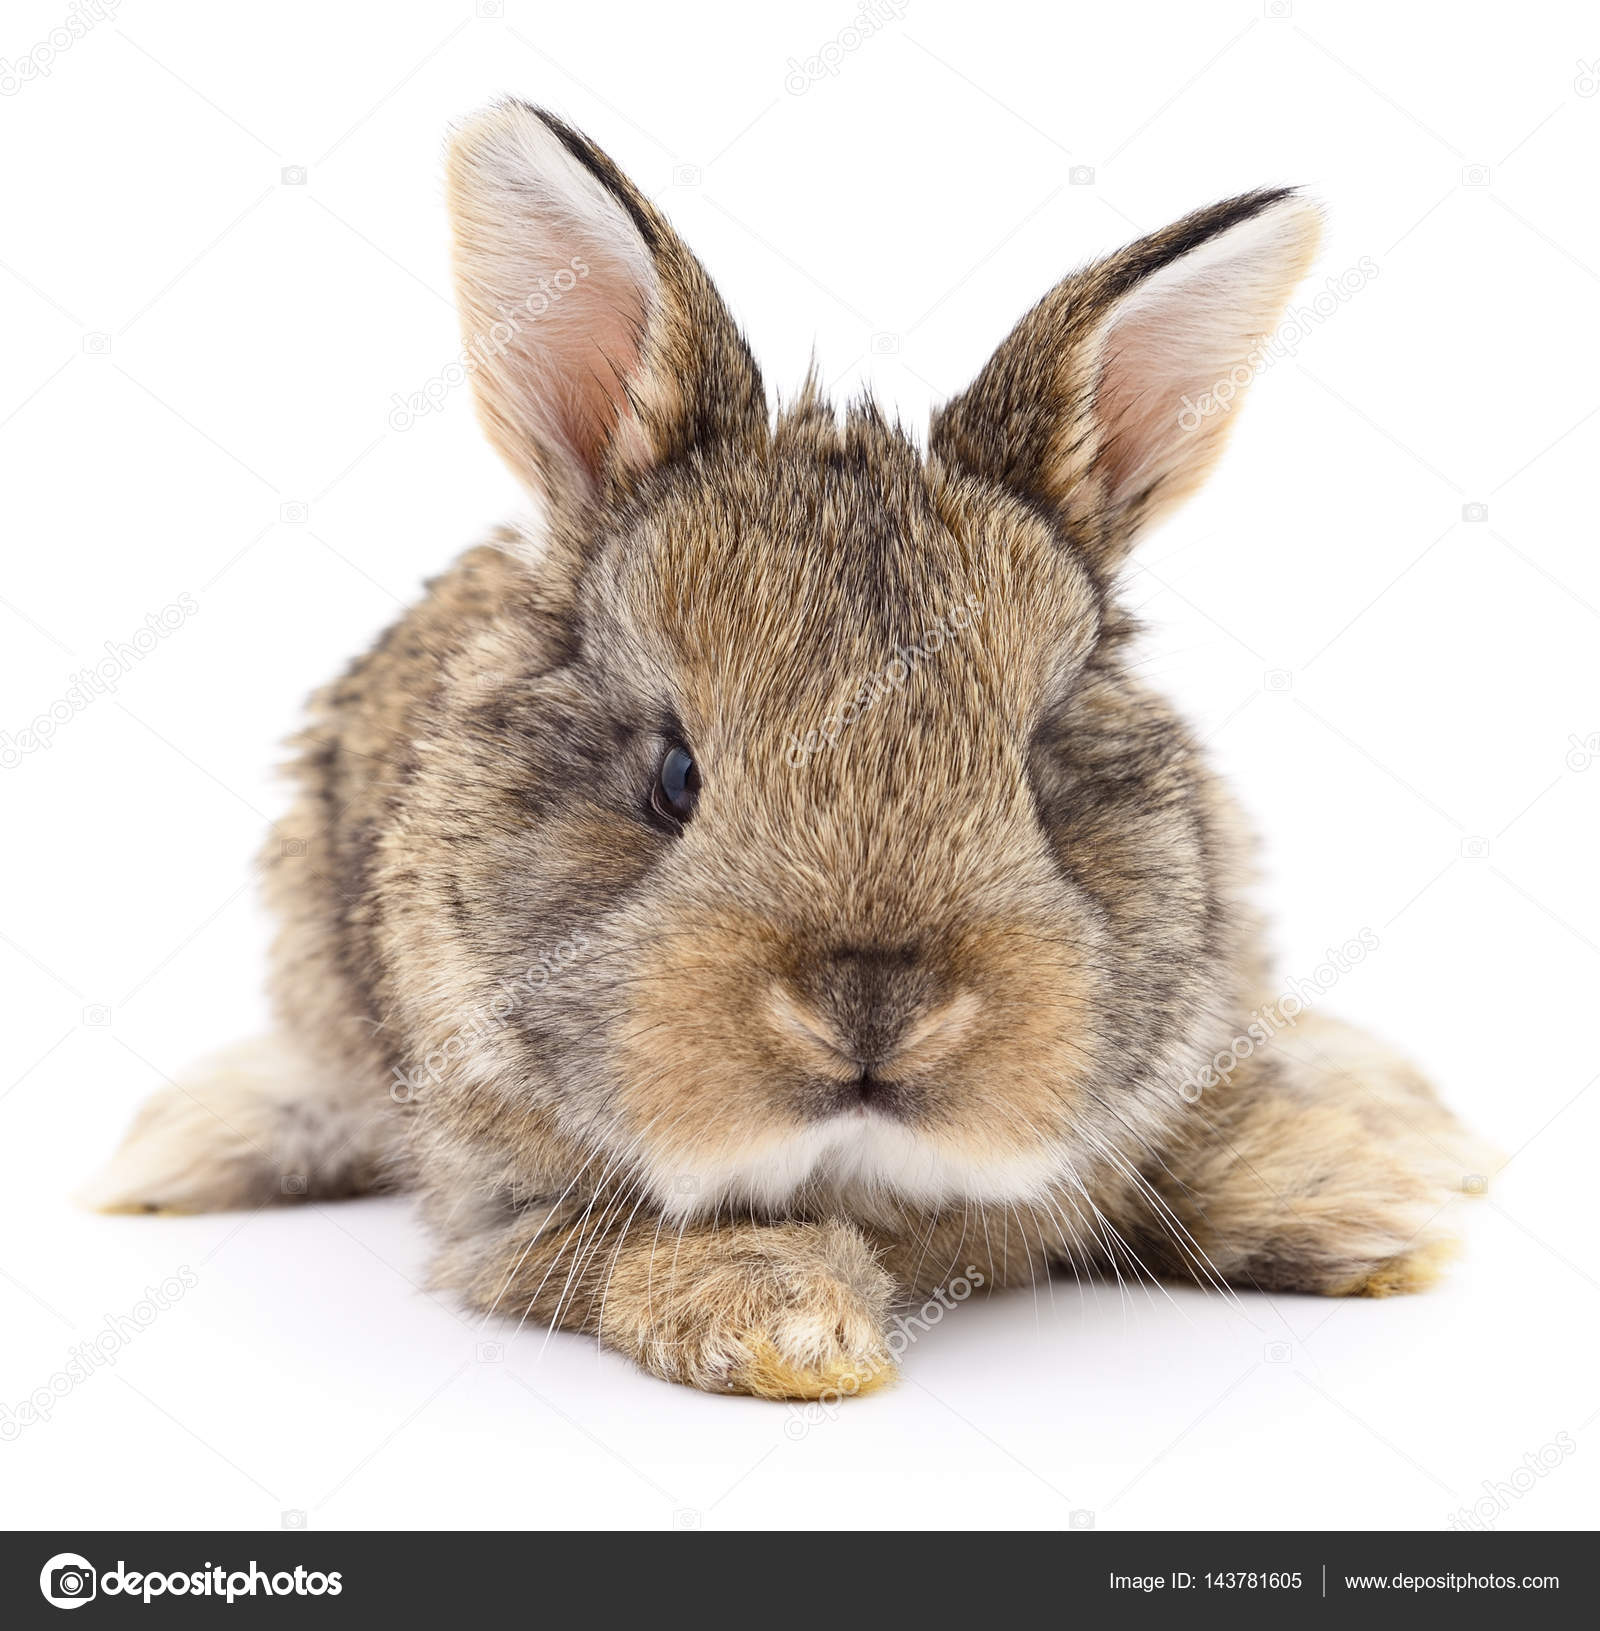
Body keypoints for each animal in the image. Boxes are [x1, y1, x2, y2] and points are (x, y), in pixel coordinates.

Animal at [84, 101, 1486, 1399]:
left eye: (1039, 771)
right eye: (673, 777)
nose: (873, 1010)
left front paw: (1362, 1199)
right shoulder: (503, 1206)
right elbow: (612, 1245)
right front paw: (790, 1323)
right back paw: (179, 1150)